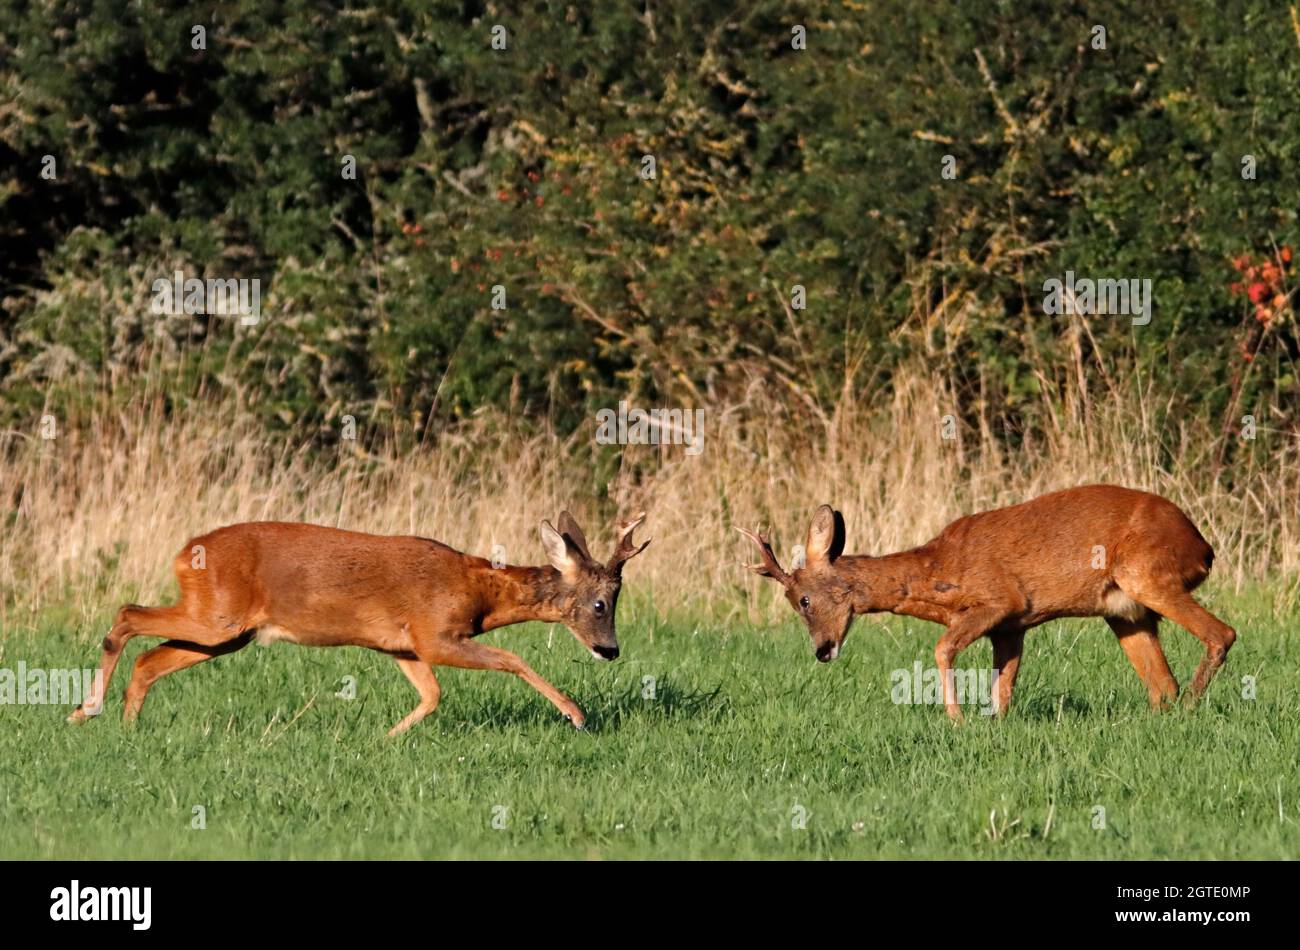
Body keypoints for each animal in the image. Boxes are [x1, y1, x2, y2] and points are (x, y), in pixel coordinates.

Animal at [67, 511, 648, 735]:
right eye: (602, 603)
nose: (610, 651)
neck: (479, 593)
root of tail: (185, 553)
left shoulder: (401, 646)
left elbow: (432, 695)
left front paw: (387, 739)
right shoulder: (435, 633)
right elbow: (510, 657)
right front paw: (576, 714)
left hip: (227, 634)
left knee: (149, 657)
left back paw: (124, 725)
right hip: (216, 616)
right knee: (127, 615)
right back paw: (86, 709)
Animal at [737, 485, 1236, 720]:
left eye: (802, 599)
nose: (823, 651)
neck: (939, 572)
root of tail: (1203, 546)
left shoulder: (999, 599)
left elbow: (943, 648)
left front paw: (956, 719)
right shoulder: (1012, 624)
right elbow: (1004, 688)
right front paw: (990, 721)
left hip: (1147, 572)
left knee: (1222, 634)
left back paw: (1191, 708)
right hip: (1124, 612)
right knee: (1162, 685)